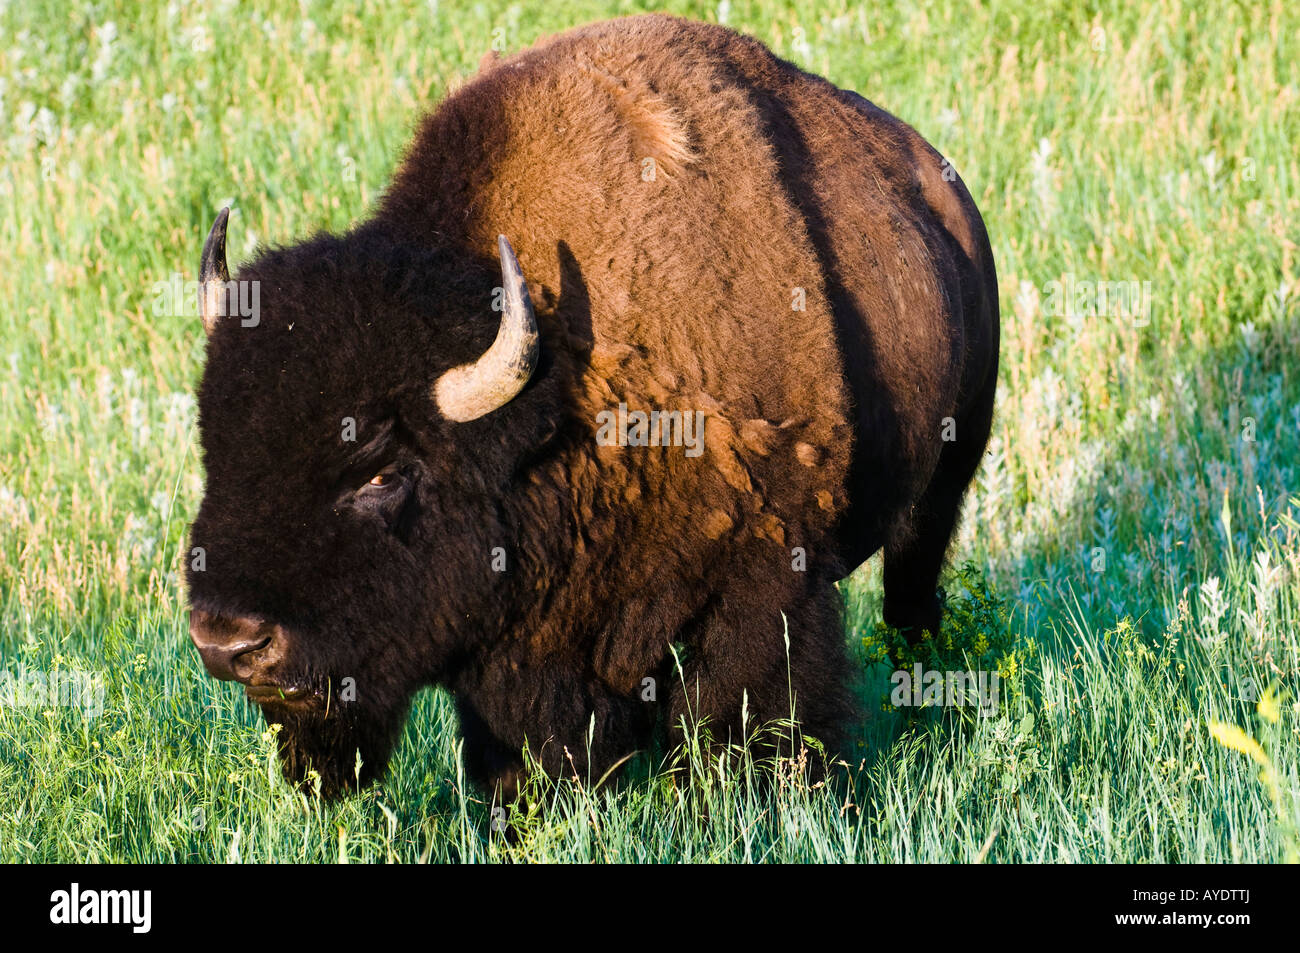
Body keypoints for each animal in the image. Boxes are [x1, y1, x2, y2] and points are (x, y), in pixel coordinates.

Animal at [187, 14, 999, 799]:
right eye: (215, 448)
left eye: (384, 472)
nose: (228, 641)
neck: (566, 389)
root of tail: (951, 199)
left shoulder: (765, 585)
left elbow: (748, 725)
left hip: (946, 482)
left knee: (912, 594)